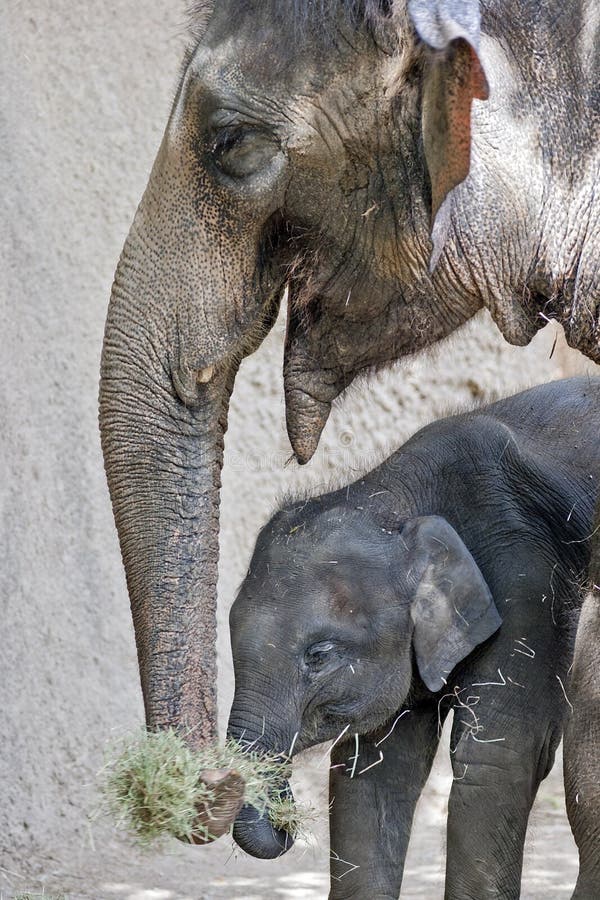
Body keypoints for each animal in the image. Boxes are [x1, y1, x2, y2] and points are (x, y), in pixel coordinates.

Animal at [227, 377, 600, 898]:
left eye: (319, 655)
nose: (285, 825)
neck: (395, 501)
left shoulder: (530, 583)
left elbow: (496, 759)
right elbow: (374, 770)